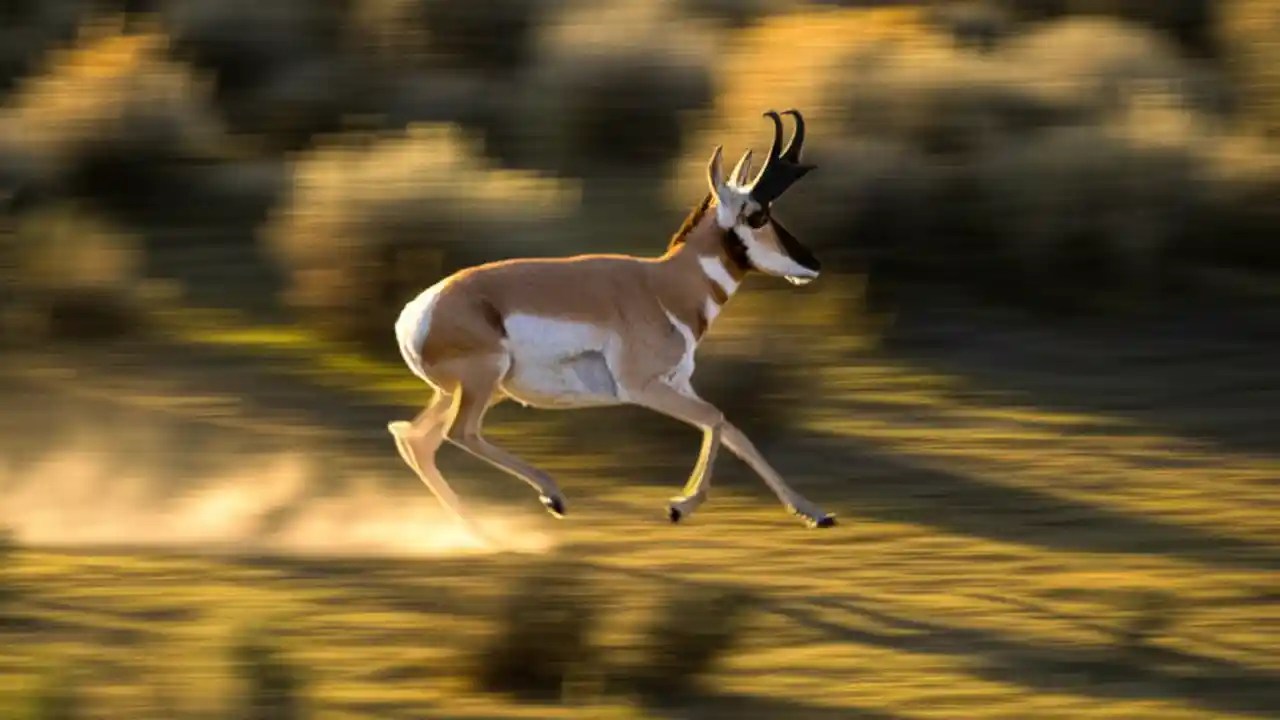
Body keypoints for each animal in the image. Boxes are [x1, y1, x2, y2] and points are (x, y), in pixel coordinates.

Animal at [388, 109, 835, 531]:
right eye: (757, 215)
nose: (812, 264)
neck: (663, 287)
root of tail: (416, 312)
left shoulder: (679, 384)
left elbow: (734, 431)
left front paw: (816, 513)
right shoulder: (644, 388)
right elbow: (716, 419)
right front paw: (679, 506)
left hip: (473, 391)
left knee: (415, 438)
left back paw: (483, 533)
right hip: (482, 385)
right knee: (457, 434)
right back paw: (550, 498)